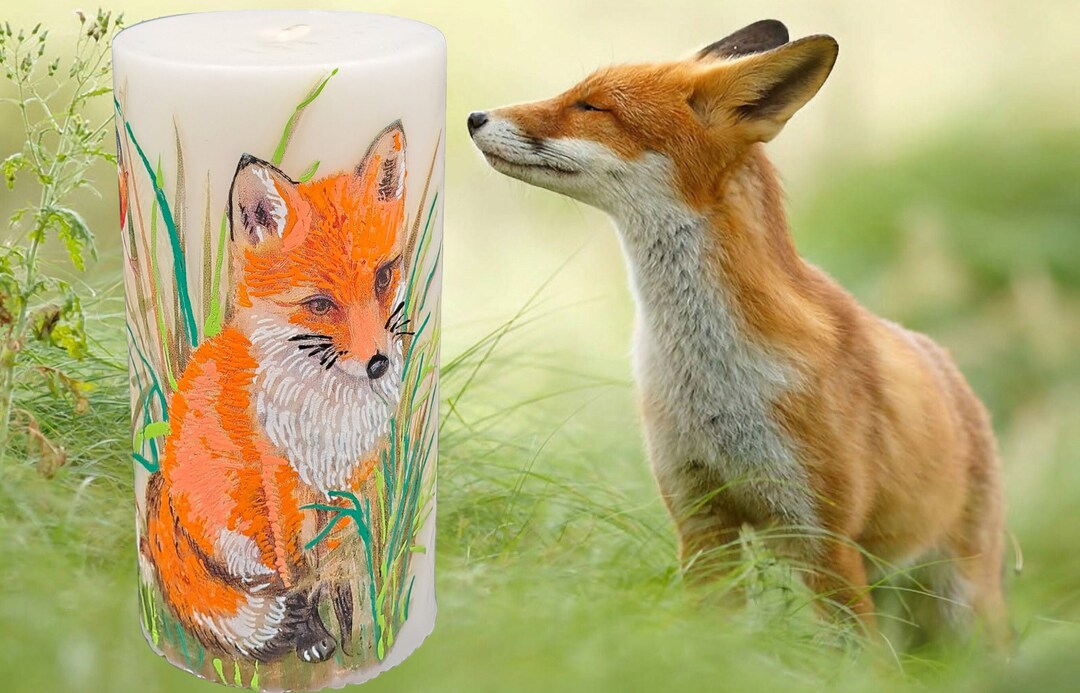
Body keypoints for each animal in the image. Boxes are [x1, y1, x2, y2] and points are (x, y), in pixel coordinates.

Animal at [141, 122, 411, 663]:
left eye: (383, 277)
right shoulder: (280, 486)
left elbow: (342, 574)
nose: (377, 364)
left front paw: (355, 641)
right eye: (320, 305)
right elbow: (297, 576)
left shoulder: (353, 481)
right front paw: (317, 639)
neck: (328, 412)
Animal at [468, 20, 1007, 644]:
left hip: (962, 603)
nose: (474, 117)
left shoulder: (823, 539)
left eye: (592, 106)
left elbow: (853, 655)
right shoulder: (700, 517)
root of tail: (957, 376)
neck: (711, 378)